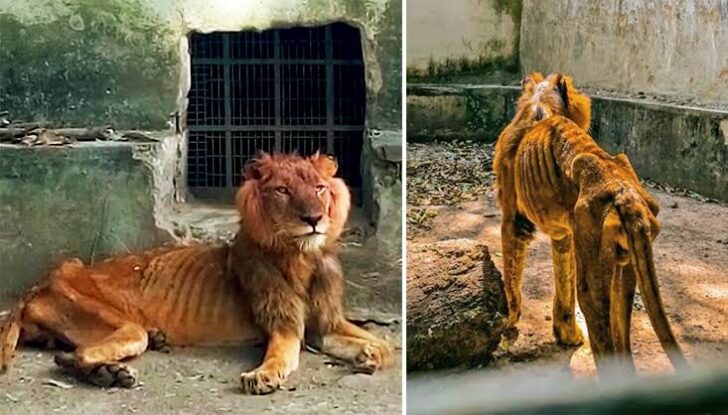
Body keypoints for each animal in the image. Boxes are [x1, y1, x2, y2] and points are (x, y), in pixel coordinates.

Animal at [0, 152, 392, 393]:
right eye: (282, 190)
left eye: (319, 188)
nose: (313, 219)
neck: (303, 258)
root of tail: (40, 283)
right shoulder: (284, 326)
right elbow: (280, 356)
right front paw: (262, 377)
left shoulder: (322, 325)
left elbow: (384, 344)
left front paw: (368, 354)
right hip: (117, 322)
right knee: (73, 356)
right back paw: (113, 373)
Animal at [493, 72, 688, 373]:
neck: (543, 103)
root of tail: (624, 193)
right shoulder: (565, 235)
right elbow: (564, 278)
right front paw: (567, 334)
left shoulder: (513, 220)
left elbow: (512, 279)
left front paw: (507, 322)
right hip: (625, 273)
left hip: (594, 286)